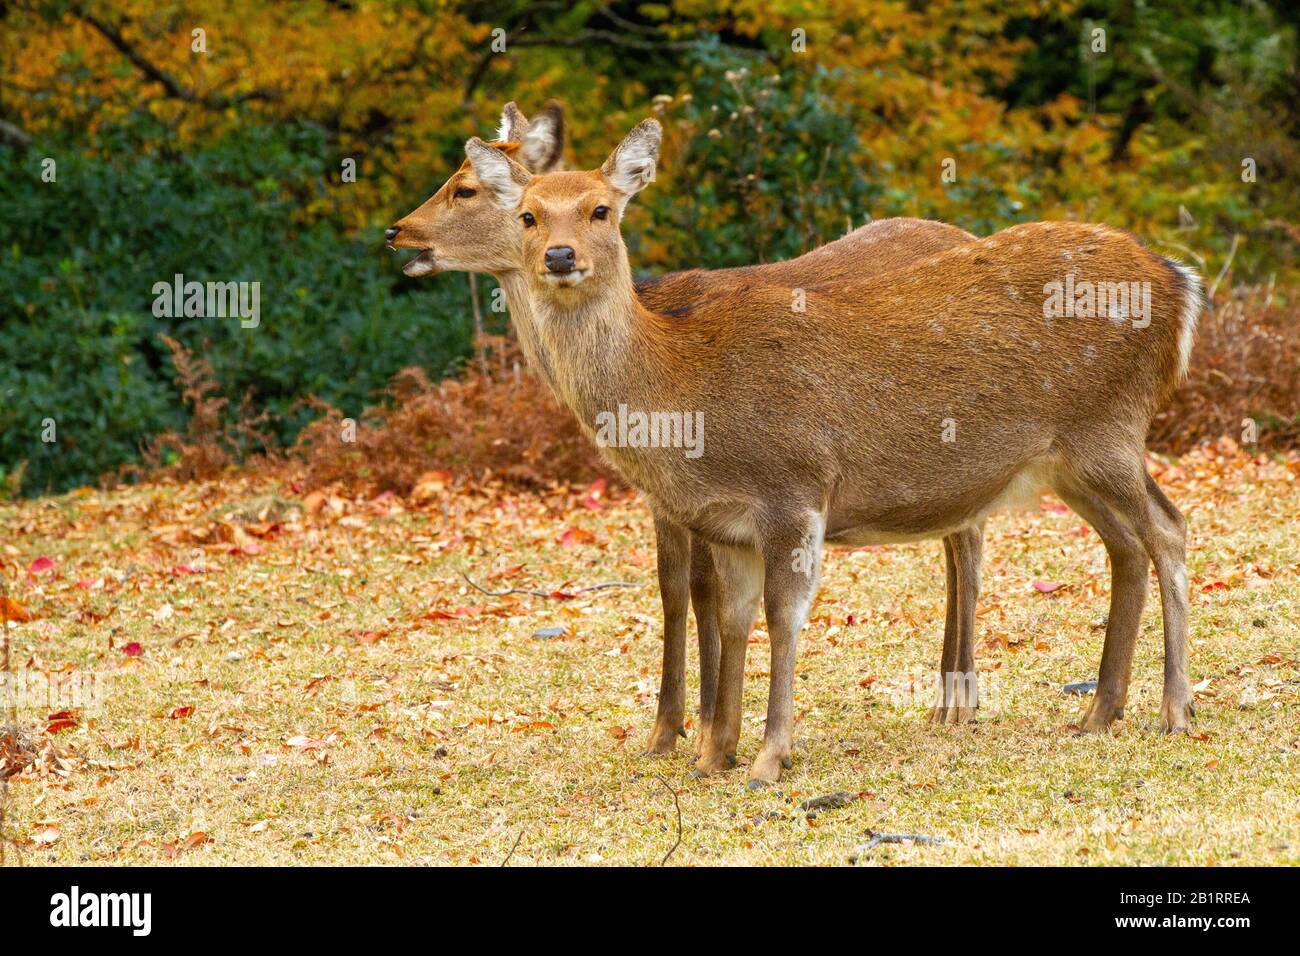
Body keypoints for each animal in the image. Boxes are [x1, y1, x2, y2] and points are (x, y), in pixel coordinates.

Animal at [386, 103, 987, 764]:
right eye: (525, 212)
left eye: (465, 186)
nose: (397, 233)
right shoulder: (664, 495)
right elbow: (673, 591)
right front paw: (668, 731)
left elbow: (703, 592)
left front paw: (702, 728)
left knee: (968, 550)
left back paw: (956, 706)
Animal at [459, 117, 1203, 786]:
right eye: (527, 216)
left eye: (601, 209)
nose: (560, 257)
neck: (682, 391)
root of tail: (1179, 285)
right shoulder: (725, 523)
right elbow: (730, 616)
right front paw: (712, 756)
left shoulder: (794, 487)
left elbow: (784, 616)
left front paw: (768, 758)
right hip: (1065, 459)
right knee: (1126, 543)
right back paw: (1100, 713)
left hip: (1110, 428)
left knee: (1169, 530)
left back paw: (1176, 709)